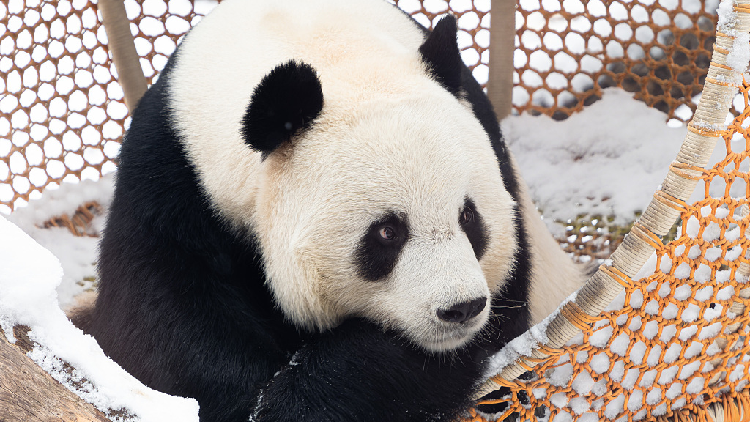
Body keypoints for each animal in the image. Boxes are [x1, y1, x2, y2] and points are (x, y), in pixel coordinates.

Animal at [75, 0, 585, 421]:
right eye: (387, 232)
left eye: (469, 217)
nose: (460, 308)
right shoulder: (172, 178)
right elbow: (162, 332)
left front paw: (298, 402)